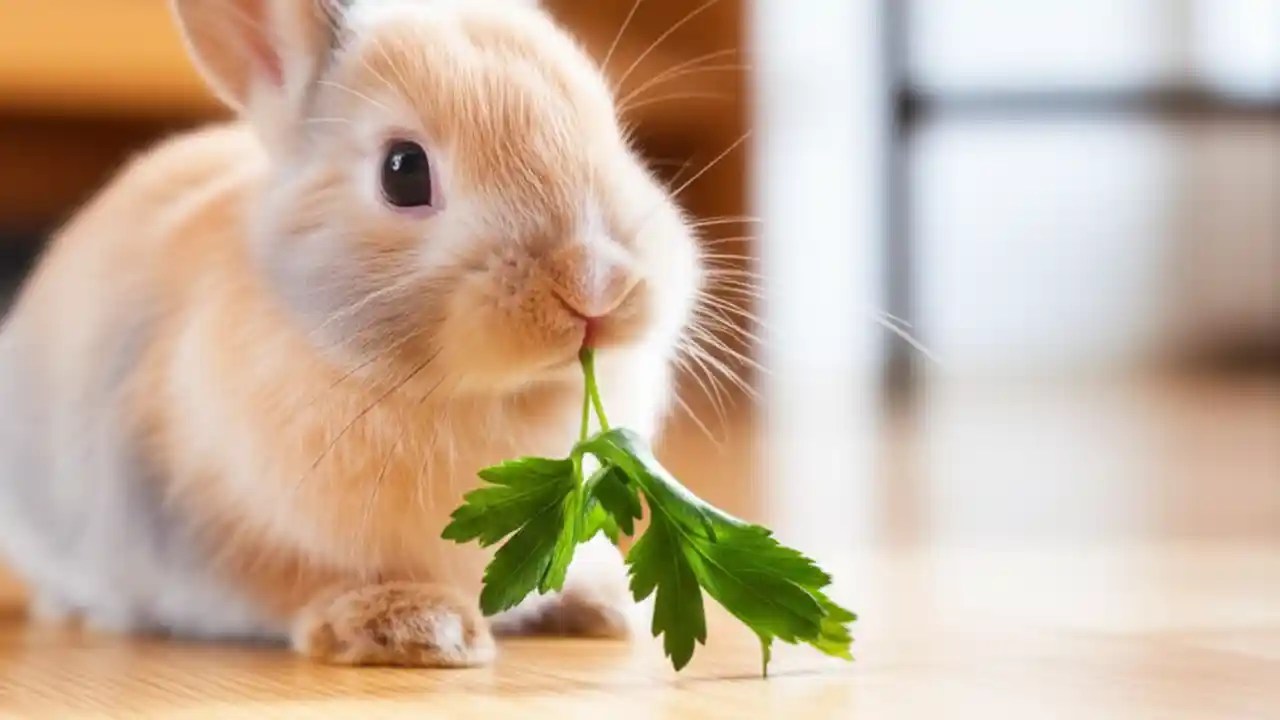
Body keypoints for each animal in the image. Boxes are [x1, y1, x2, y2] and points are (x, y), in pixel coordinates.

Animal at [0, 0, 702, 667]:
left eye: (615, 134)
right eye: (403, 171)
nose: (595, 286)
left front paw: (603, 603)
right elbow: (297, 580)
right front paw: (418, 629)